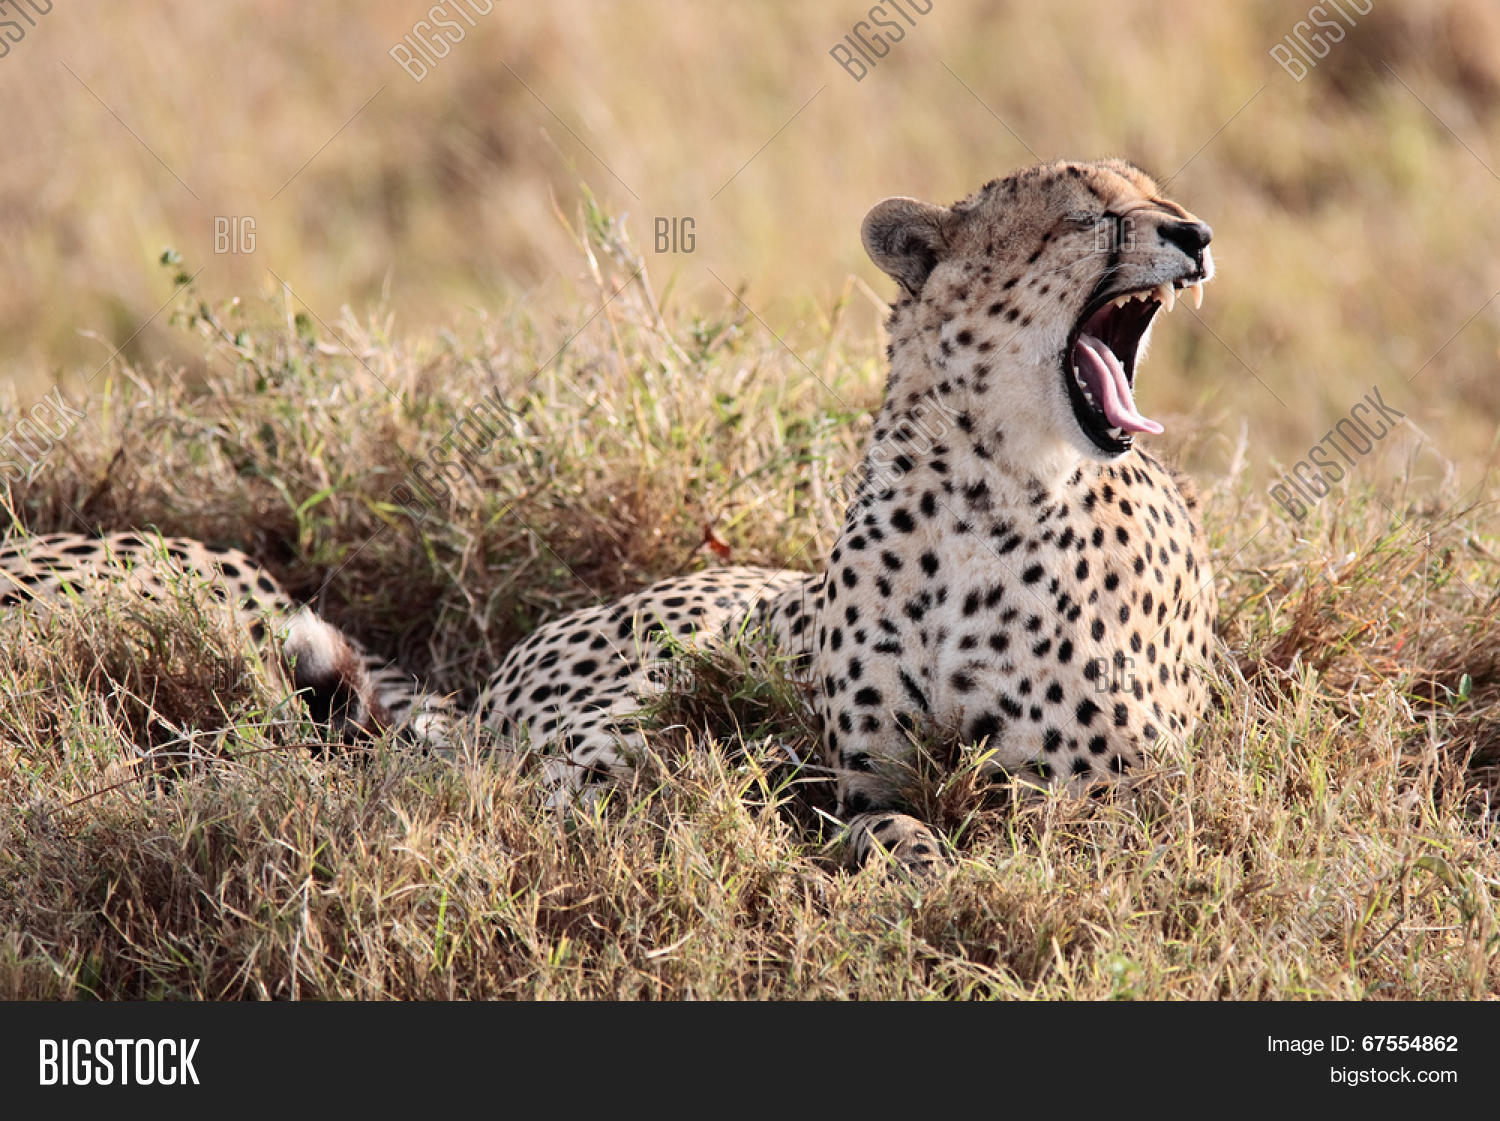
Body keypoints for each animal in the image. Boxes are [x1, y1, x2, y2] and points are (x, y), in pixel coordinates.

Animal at [475, 157, 1219, 877]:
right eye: (1088, 216)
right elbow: (888, 827)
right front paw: (921, 868)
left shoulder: (1115, 793)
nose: (1198, 235)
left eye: (1163, 199)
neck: (983, 488)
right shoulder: (868, 784)